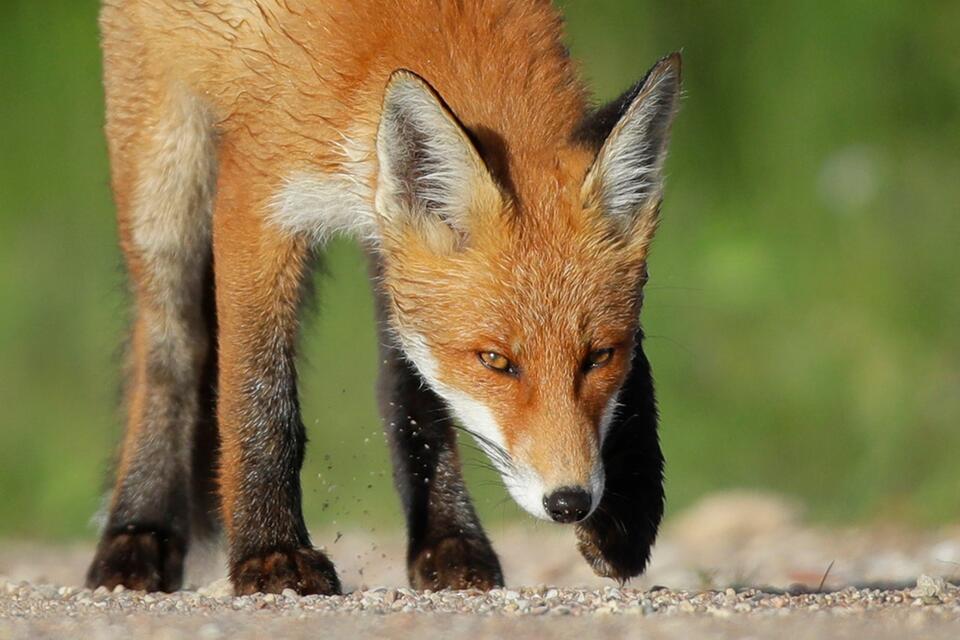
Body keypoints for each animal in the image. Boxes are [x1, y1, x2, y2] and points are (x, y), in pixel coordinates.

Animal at [86, 0, 680, 596]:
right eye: (495, 361)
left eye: (599, 357)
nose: (570, 501)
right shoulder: (256, 195)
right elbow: (259, 398)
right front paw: (272, 552)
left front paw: (628, 511)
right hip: (166, 175)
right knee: (171, 348)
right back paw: (136, 533)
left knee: (403, 382)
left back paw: (449, 539)